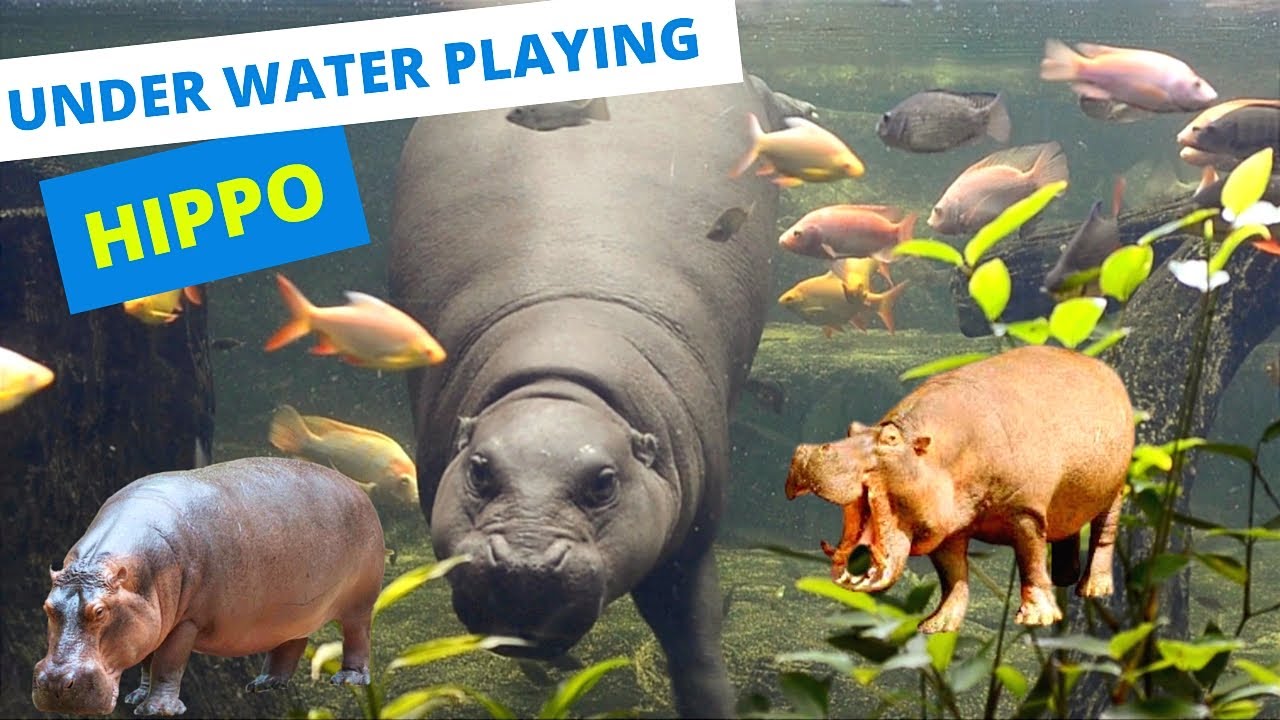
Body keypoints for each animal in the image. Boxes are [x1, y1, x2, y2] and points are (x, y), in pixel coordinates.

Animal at [32, 457, 385, 717]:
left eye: (100, 611)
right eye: (47, 608)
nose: (55, 683)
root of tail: (357, 488)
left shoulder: (185, 622)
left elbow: (167, 663)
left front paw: (157, 709)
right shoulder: (151, 618)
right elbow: (147, 660)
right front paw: (137, 697)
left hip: (360, 601)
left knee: (358, 636)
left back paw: (349, 678)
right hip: (295, 610)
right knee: (291, 643)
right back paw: (265, 683)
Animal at [387, 77, 780, 715]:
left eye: (604, 482)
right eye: (479, 470)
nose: (523, 567)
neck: (564, 376)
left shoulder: (692, 540)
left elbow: (694, 642)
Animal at [784, 345, 1134, 633]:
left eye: (891, 440)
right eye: (852, 428)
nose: (808, 450)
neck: (934, 451)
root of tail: (1104, 368)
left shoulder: (1026, 512)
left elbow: (1031, 562)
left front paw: (1036, 618)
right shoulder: (947, 528)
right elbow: (953, 577)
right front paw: (936, 625)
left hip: (1114, 490)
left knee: (1104, 533)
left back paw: (1093, 588)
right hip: (1068, 499)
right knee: (1067, 528)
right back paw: (1064, 579)